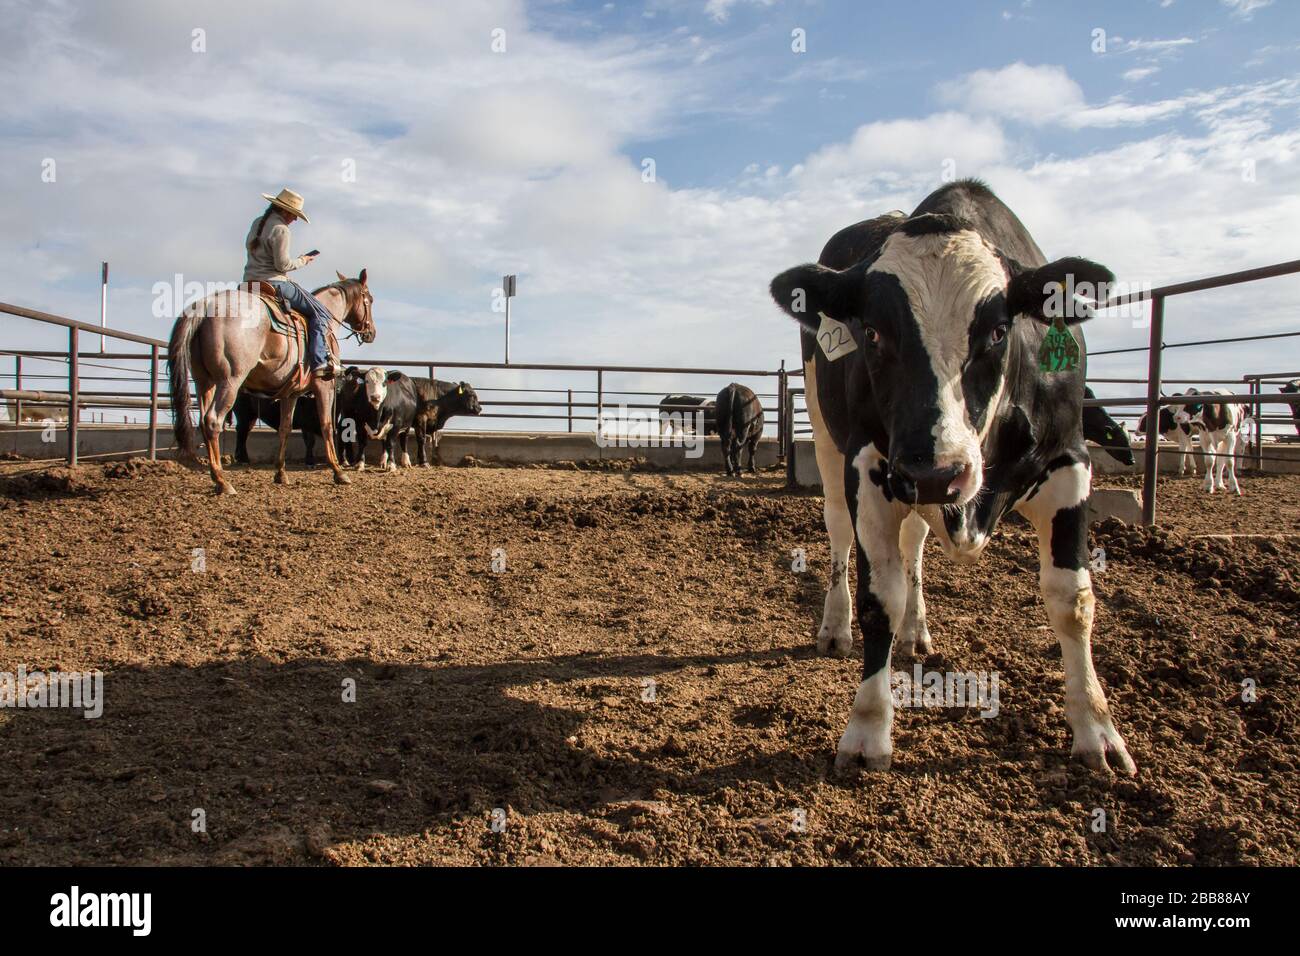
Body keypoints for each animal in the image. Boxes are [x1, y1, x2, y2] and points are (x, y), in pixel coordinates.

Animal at [769, 179, 1134, 775]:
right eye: (873, 333)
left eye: (999, 330)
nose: (935, 470)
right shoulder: (870, 469)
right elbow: (879, 601)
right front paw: (868, 730)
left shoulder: (1069, 464)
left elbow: (1073, 601)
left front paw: (1096, 729)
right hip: (827, 440)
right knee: (840, 533)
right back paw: (835, 626)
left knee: (915, 544)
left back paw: (916, 631)